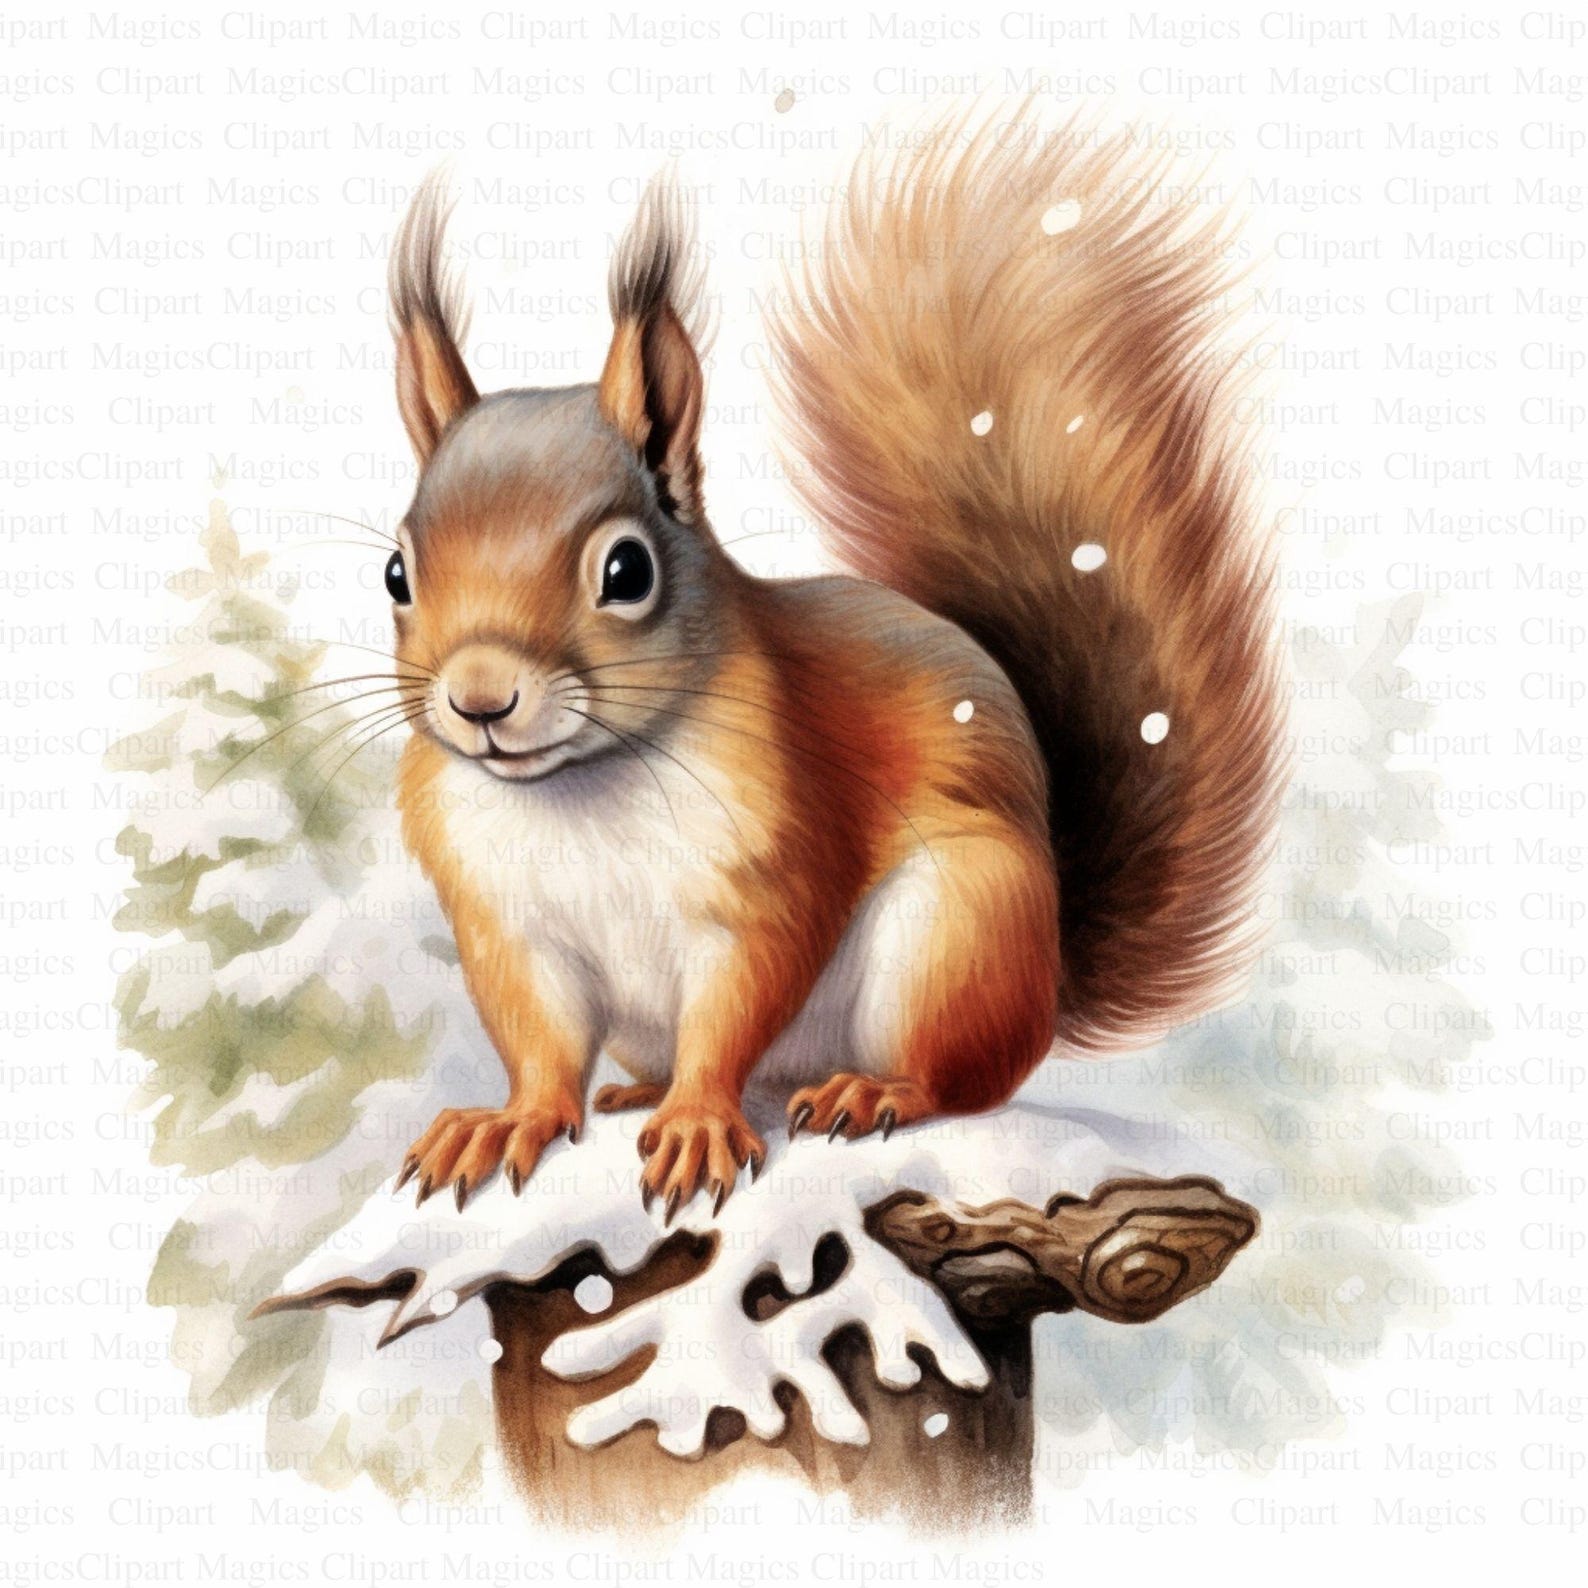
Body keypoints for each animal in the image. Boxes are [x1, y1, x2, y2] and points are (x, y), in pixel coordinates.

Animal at [383, 111, 1284, 1220]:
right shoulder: (508, 928)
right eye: (395, 573)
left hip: (955, 933)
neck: (578, 789)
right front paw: (514, 1118)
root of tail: (1049, 973)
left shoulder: (777, 864)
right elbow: (540, 1043)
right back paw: (642, 1089)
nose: (479, 699)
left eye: (627, 570)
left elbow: (738, 1003)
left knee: (960, 1077)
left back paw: (869, 1089)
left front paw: (698, 1121)